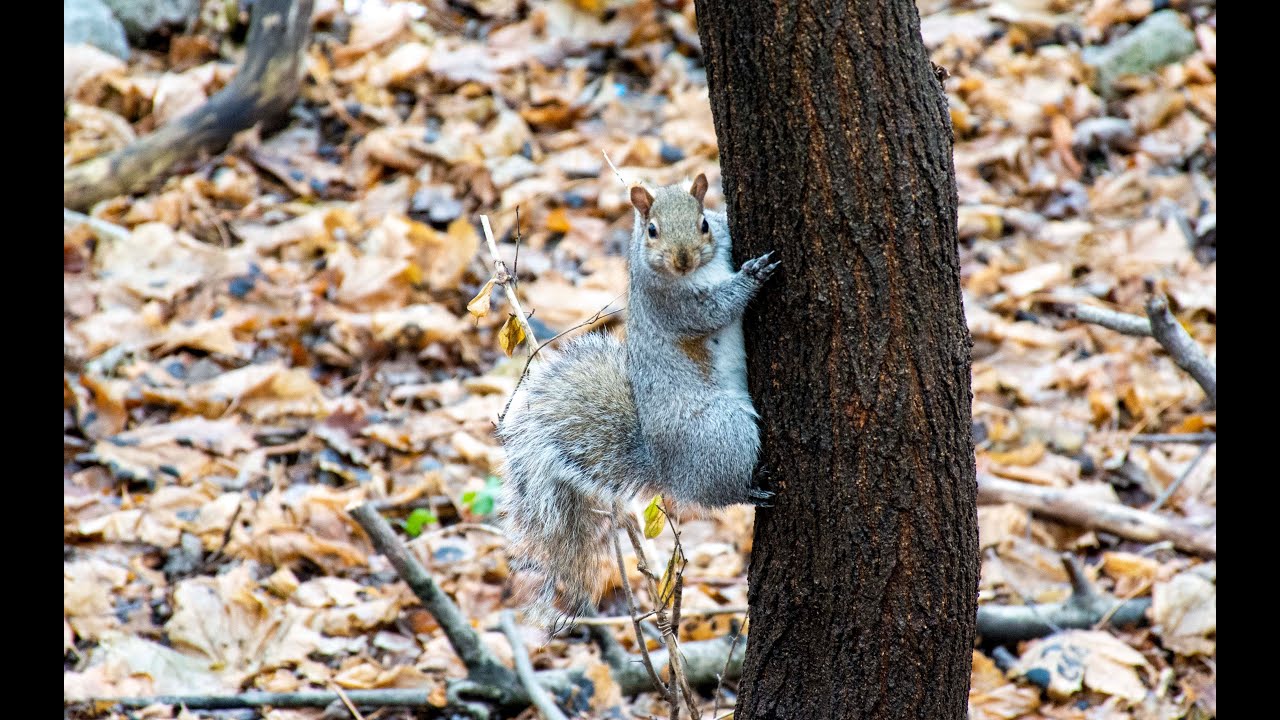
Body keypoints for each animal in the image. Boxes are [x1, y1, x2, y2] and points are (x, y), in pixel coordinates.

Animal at [495, 173, 779, 628]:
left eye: (703, 223)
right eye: (652, 230)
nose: (682, 260)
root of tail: (665, 466)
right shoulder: (673, 305)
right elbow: (715, 309)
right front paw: (753, 276)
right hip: (721, 430)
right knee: (718, 492)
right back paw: (753, 487)